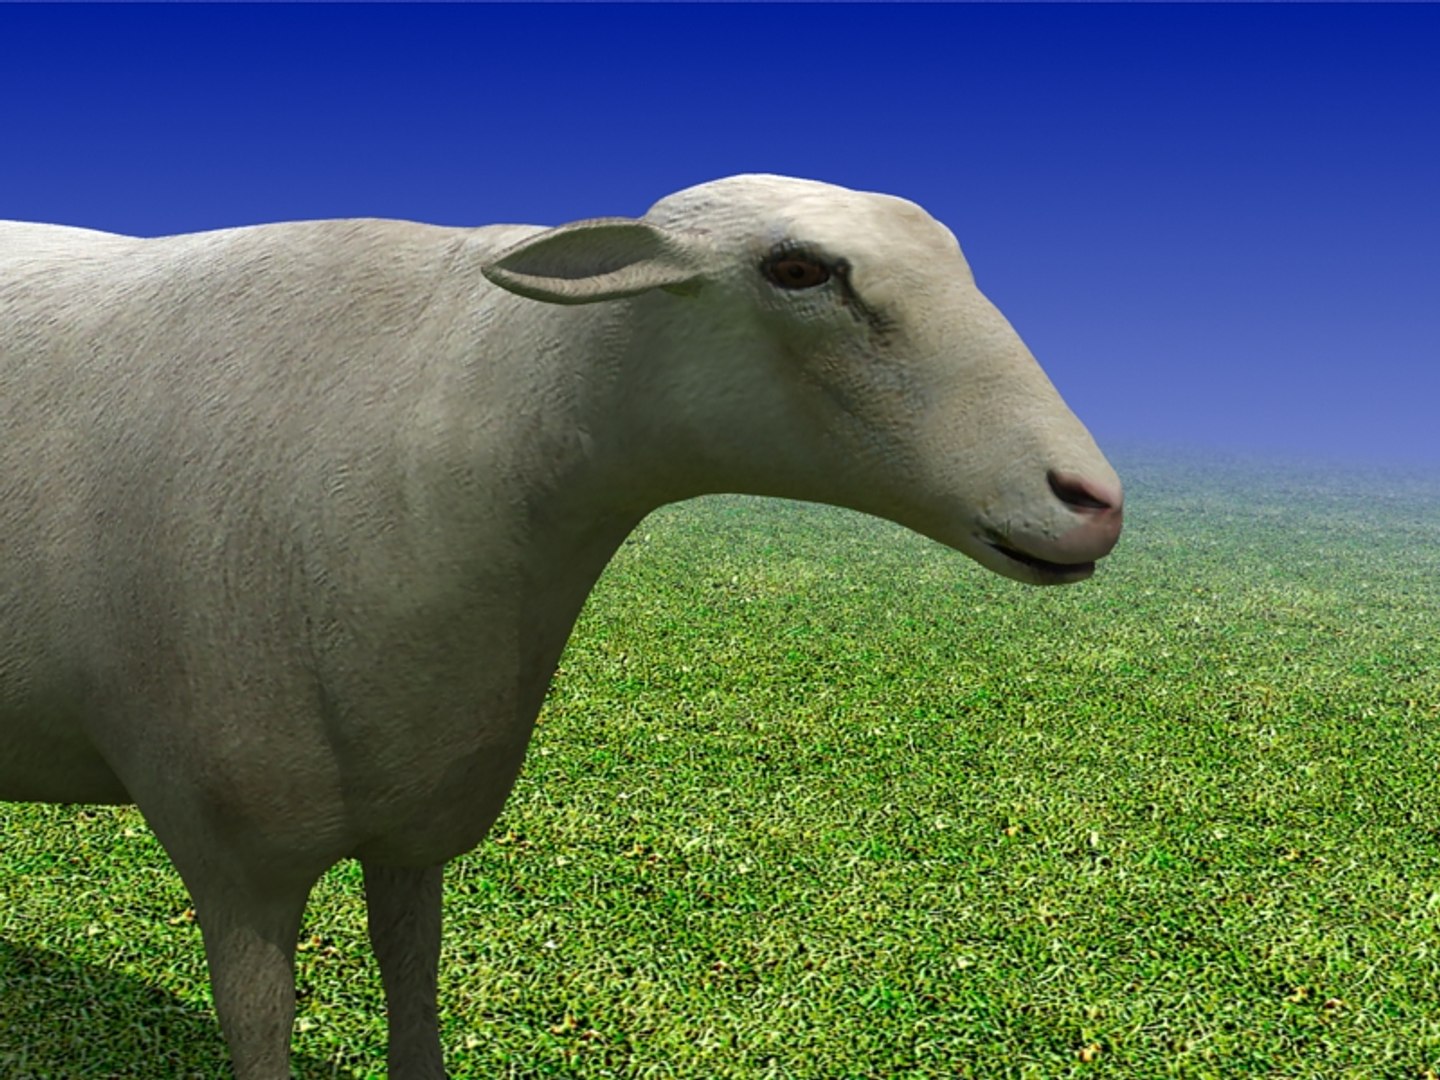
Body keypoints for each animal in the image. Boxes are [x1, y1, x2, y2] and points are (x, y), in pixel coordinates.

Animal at [0, 174, 1122, 1077]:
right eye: (798, 269)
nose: (1093, 502)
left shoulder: (417, 812)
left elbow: (413, 978)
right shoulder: (235, 850)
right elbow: (260, 1026)